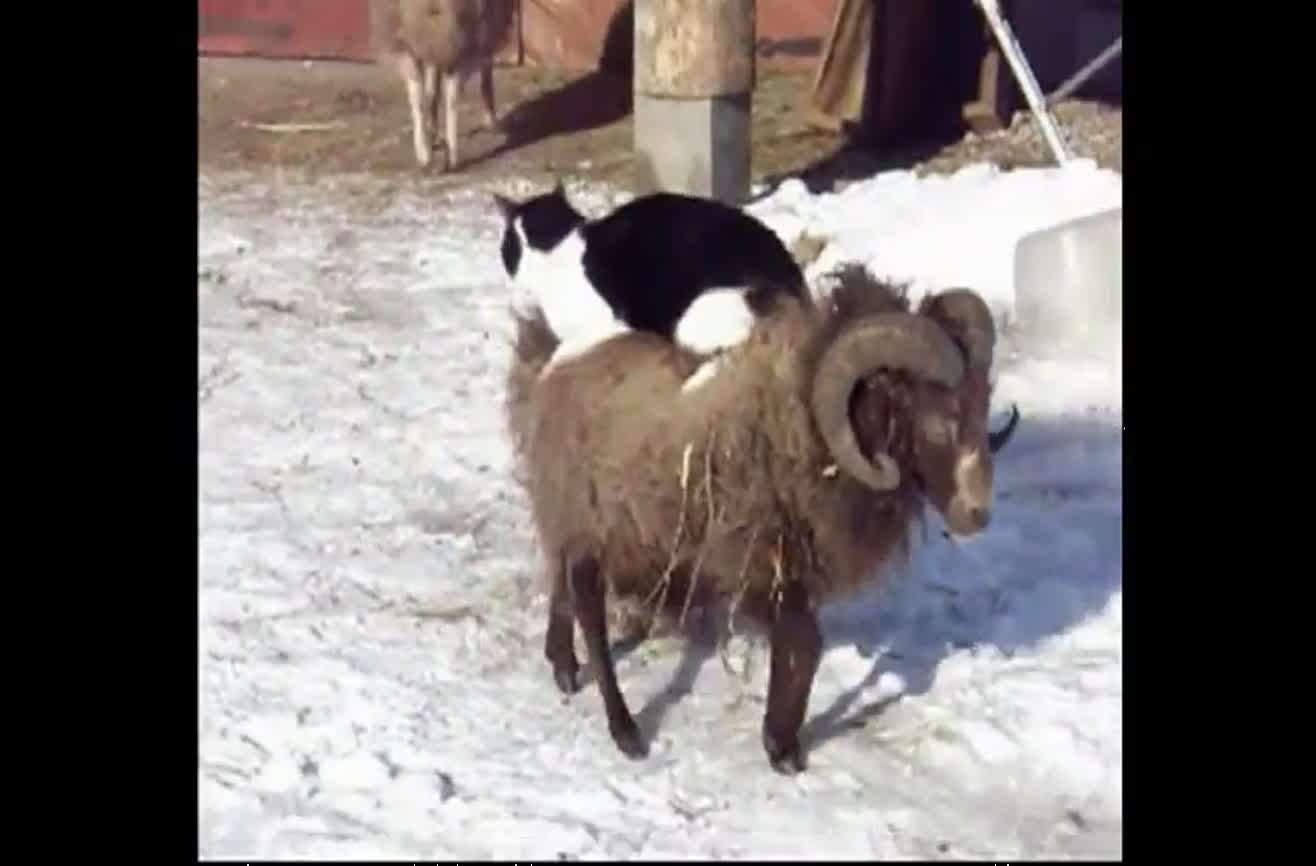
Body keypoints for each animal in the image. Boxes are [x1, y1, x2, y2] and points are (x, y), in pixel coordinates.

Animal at [370, 0, 513, 170]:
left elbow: (432, 91)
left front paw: (433, 131)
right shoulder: (485, 34)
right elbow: (486, 78)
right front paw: (492, 122)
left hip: (404, 38)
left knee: (416, 97)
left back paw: (424, 153)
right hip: (459, 37)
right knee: (452, 98)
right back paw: (451, 156)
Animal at [504, 263, 1021, 774]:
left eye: (982, 403)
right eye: (937, 419)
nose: (977, 513)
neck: (808, 423)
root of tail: (554, 362)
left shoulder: (793, 568)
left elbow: (806, 647)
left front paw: (784, 741)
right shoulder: (770, 559)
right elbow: (802, 644)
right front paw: (780, 745)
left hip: (572, 522)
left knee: (561, 583)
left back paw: (563, 666)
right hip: (588, 524)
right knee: (589, 612)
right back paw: (625, 730)